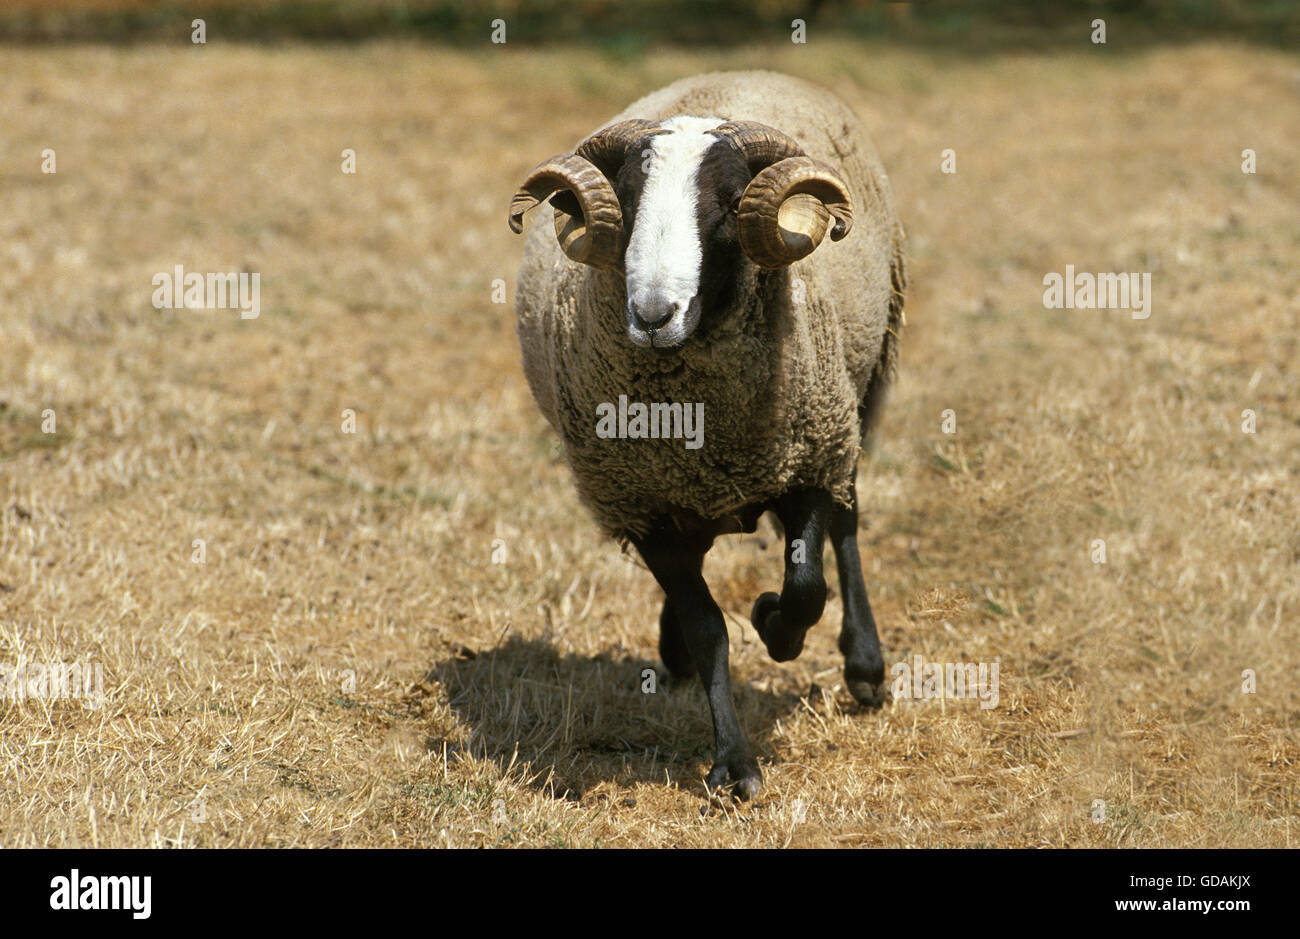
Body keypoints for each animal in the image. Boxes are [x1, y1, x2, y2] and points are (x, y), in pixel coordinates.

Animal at [508, 70, 906, 799]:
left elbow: (807, 586)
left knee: (847, 522)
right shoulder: (645, 503)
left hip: (851, 402)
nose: (652, 314)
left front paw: (774, 625)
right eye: (626, 202)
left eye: (726, 208)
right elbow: (707, 629)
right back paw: (674, 651)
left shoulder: (807, 456)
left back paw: (865, 668)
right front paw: (734, 765)